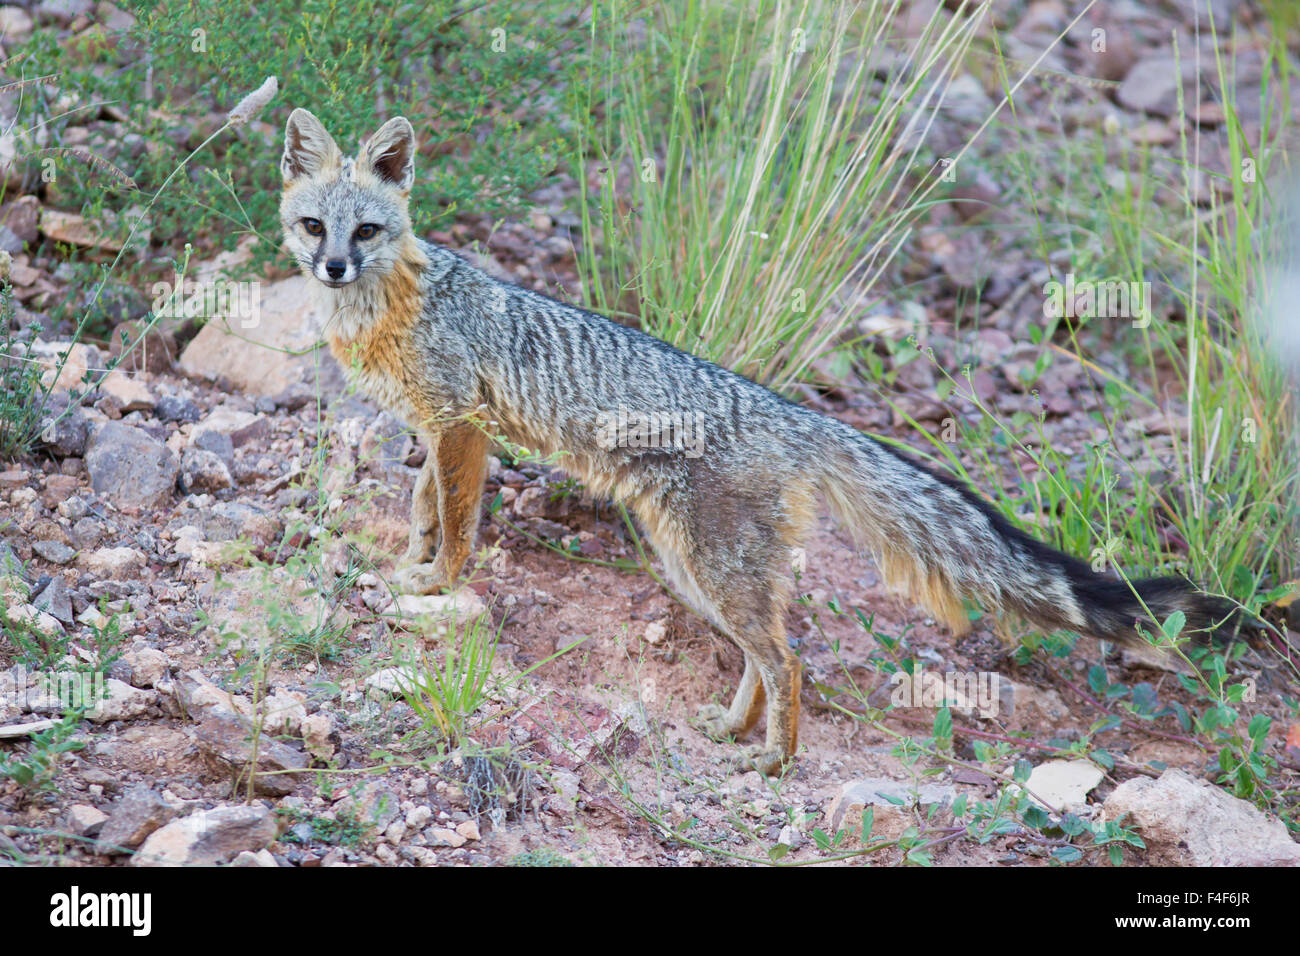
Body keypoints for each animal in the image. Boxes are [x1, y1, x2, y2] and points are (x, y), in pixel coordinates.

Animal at [279, 108, 1236, 775]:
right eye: (313, 226)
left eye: (366, 229)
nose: (332, 267)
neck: (385, 309)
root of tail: (793, 411)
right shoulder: (437, 427)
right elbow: (424, 504)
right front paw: (411, 559)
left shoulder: (458, 425)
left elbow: (459, 521)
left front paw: (437, 580)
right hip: (697, 570)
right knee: (765, 654)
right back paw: (734, 730)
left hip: (713, 567)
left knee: (792, 661)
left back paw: (776, 760)